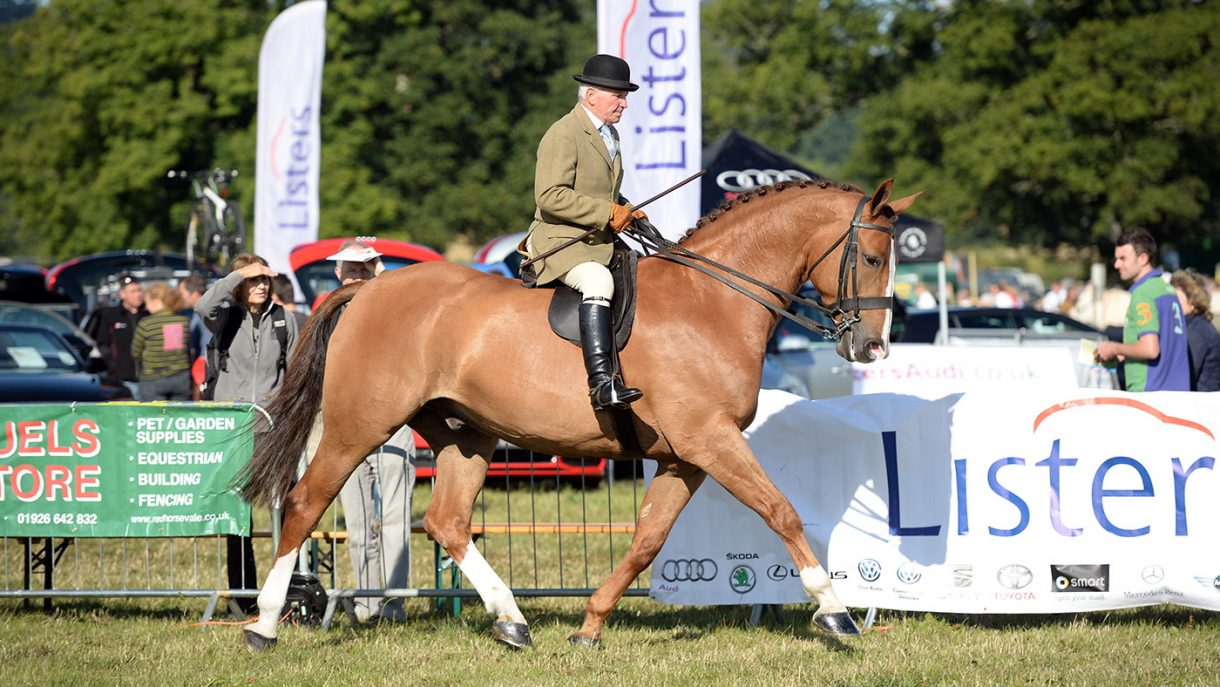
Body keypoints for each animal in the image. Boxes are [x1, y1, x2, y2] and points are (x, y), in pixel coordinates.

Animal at [238, 178, 918, 651]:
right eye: (873, 259)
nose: (873, 348)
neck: (713, 300)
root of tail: (365, 290)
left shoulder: (687, 457)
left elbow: (647, 541)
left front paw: (590, 624)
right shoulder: (711, 441)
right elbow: (781, 511)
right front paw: (835, 610)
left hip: (466, 436)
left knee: (447, 522)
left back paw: (512, 620)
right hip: (360, 425)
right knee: (305, 503)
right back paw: (264, 624)